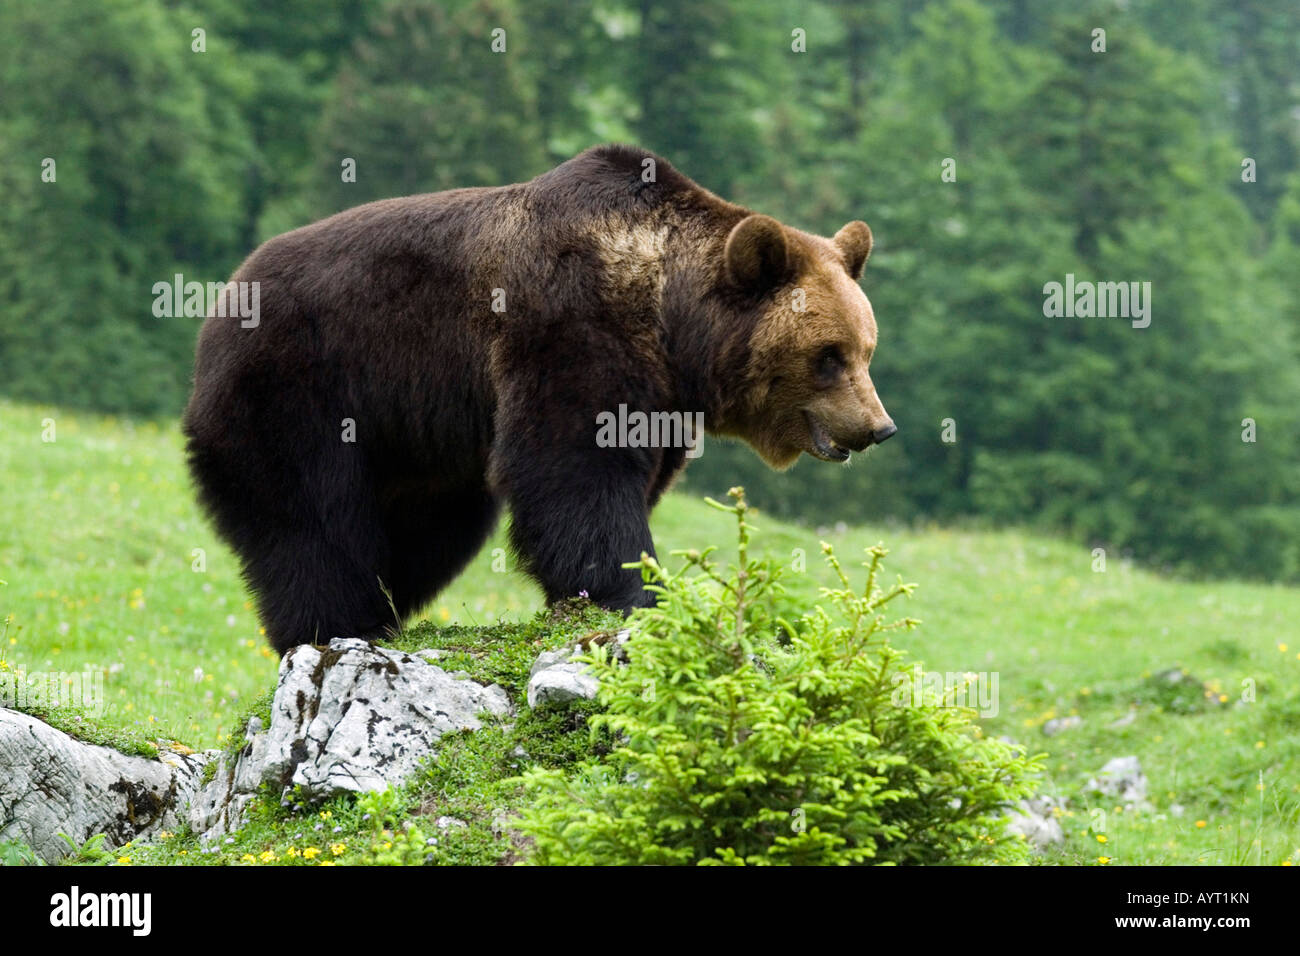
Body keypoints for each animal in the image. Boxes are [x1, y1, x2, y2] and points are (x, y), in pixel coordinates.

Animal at [182, 145, 896, 654]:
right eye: (827, 356)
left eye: (866, 348)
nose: (877, 427)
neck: (671, 325)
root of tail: (222, 300)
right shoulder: (571, 326)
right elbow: (575, 469)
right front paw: (632, 592)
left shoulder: (662, 399)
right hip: (300, 386)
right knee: (310, 516)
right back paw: (335, 623)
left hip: (418, 447)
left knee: (425, 530)